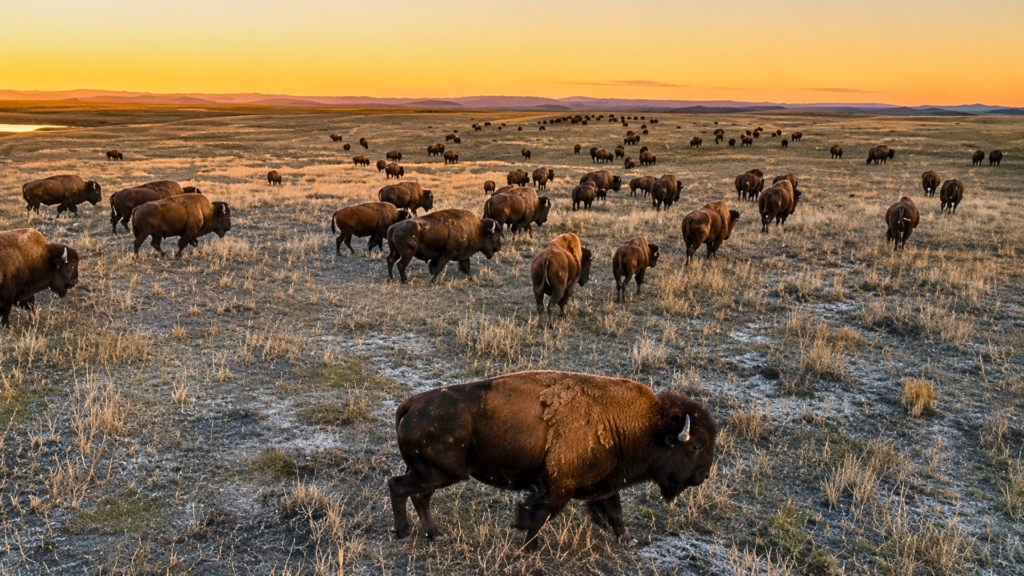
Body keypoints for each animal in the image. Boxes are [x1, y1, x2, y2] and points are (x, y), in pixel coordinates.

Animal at [388, 370, 717, 547]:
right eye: (695, 446)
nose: (703, 475)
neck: (645, 426)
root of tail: (411, 403)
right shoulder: (558, 486)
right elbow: (540, 514)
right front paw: (529, 547)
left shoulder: (606, 484)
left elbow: (616, 514)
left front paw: (628, 539)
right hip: (438, 474)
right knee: (399, 487)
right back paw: (405, 535)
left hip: (433, 474)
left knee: (419, 496)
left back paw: (435, 534)